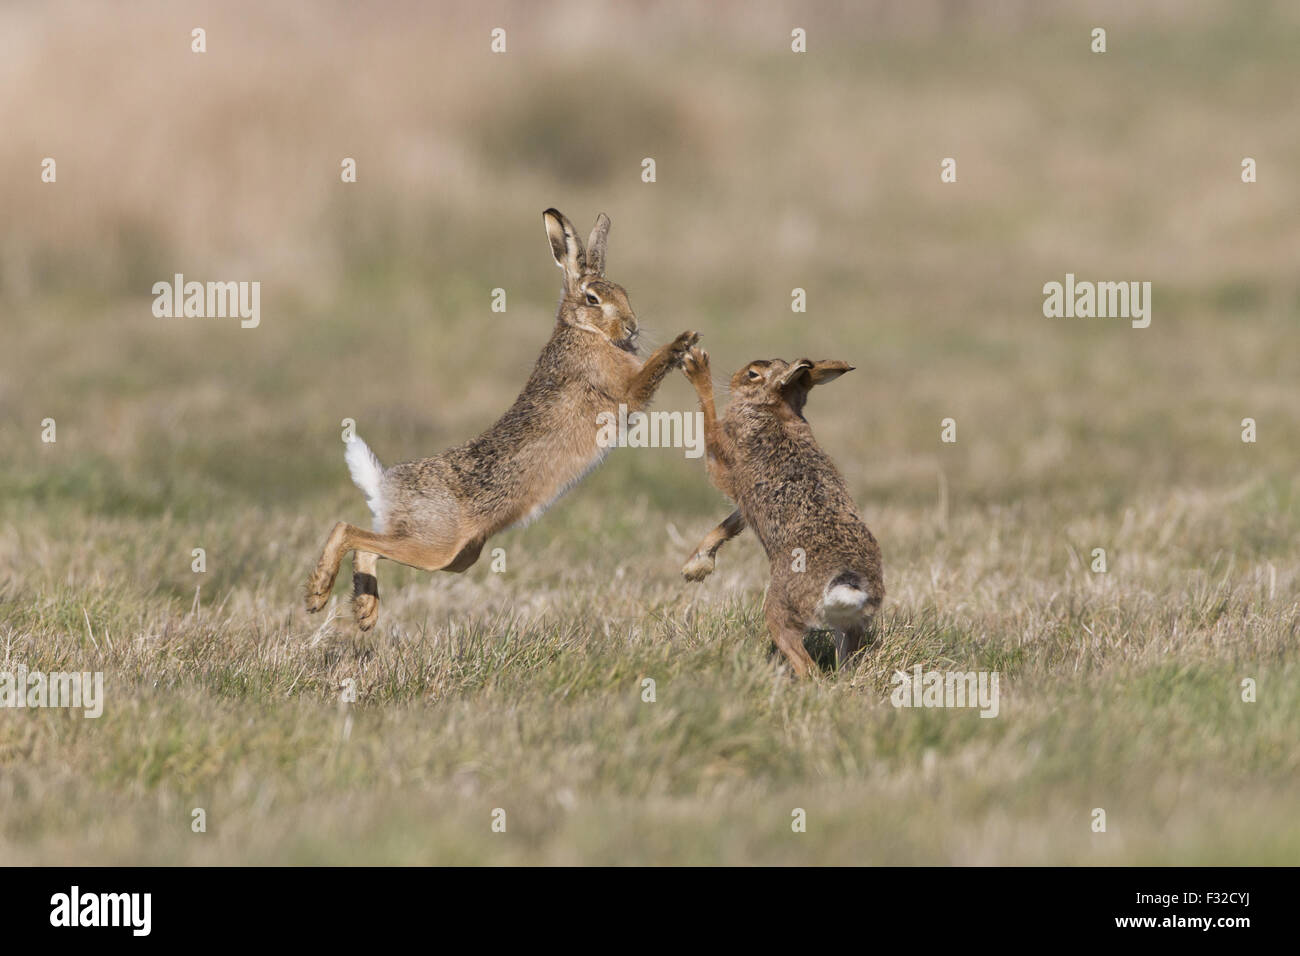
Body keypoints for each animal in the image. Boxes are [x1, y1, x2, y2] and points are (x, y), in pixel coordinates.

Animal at [306, 208, 700, 630]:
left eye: (624, 293)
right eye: (593, 299)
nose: (632, 327)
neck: (584, 332)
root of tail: (383, 485)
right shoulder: (624, 388)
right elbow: (647, 374)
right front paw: (681, 342)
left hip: (456, 555)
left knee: (369, 547)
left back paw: (365, 611)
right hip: (434, 543)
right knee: (347, 530)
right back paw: (318, 593)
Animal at [679, 347, 883, 676]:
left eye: (753, 374)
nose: (734, 379)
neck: (775, 411)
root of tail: (846, 584)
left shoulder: (725, 465)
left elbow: (709, 420)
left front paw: (696, 365)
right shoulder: (745, 502)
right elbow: (728, 525)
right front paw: (695, 567)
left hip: (779, 610)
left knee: (807, 667)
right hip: (850, 626)